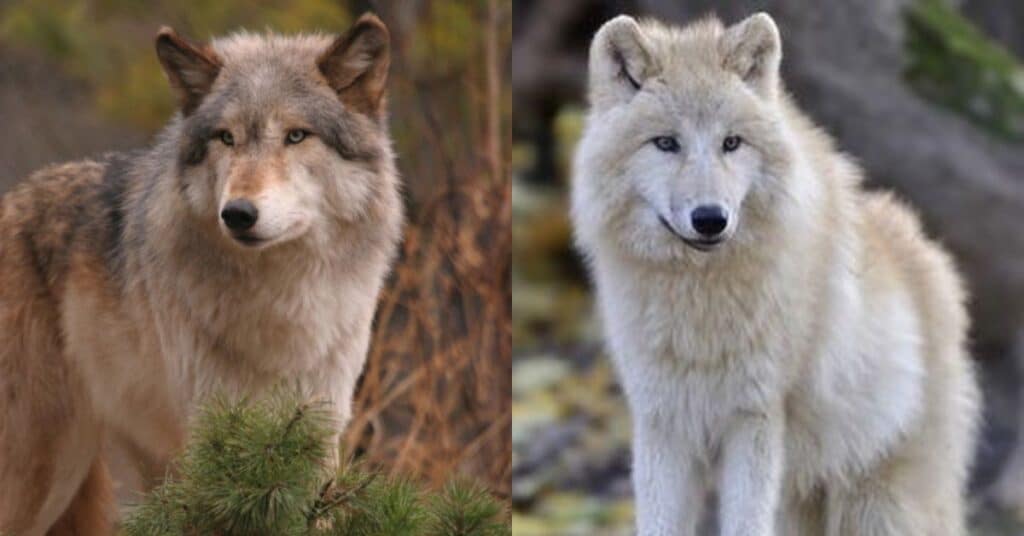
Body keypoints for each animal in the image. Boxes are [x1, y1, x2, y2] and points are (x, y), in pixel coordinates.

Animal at [0, 14, 402, 535]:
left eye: (296, 136)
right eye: (226, 138)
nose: (238, 214)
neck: (280, 308)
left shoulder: (314, 442)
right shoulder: (211, 444)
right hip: (43, 476)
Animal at [571, 12, 980, 536]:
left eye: (731, 143)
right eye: (666, 143)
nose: (710, 219)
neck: (700, 302)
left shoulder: (755, 416)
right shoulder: (663, 421)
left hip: (877, 506)